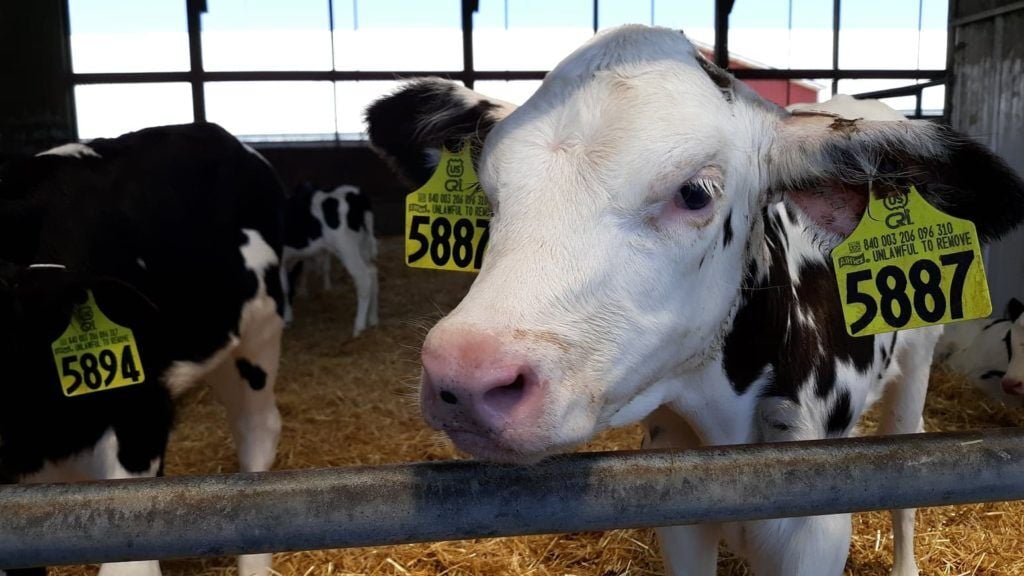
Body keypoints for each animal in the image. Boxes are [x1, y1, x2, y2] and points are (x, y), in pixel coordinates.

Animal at [281, 182, 379, 335]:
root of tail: (356, 194)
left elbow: (284, 288)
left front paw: (285, 319)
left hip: (346, 247)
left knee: (364, 278)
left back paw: (359, 327)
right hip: (361, 245)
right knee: (372, 271)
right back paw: (373, 319)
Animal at [365, 25, 1024, 576]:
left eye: (695, 192)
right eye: (489, 190)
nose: (465, 375)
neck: (722, 422)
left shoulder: (815, 534)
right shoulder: (679, 513)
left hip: (918, 362)